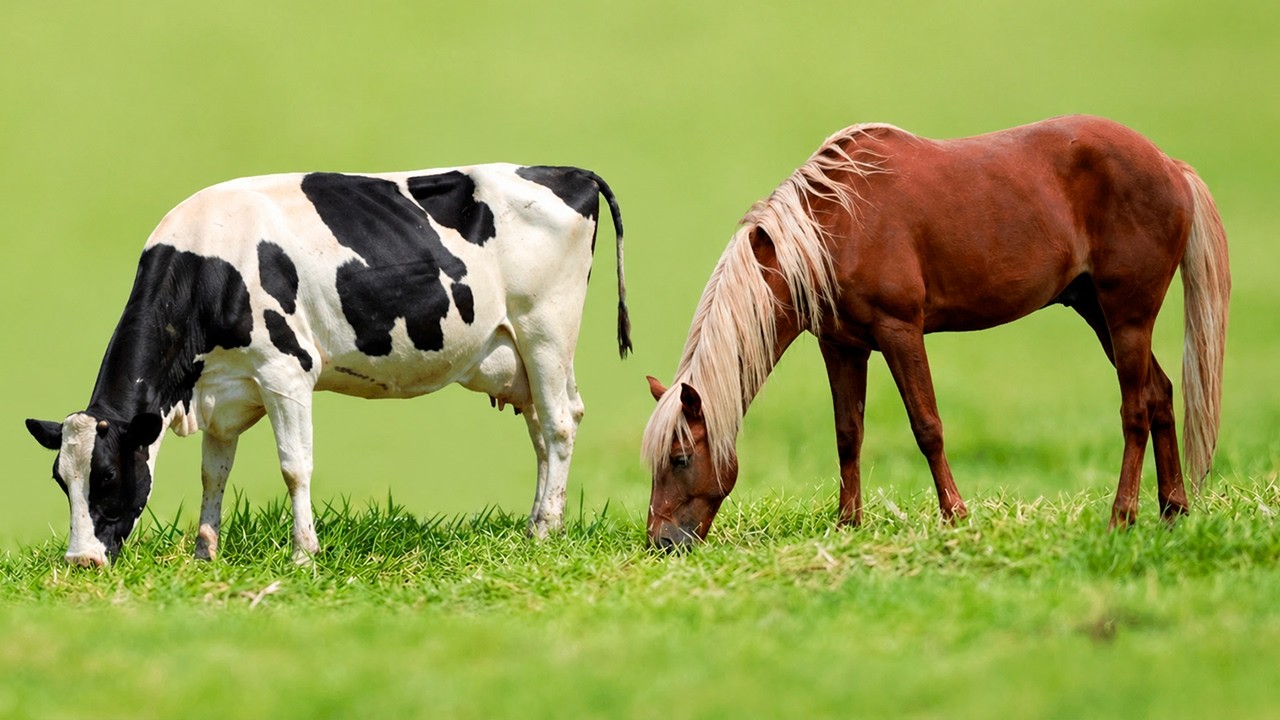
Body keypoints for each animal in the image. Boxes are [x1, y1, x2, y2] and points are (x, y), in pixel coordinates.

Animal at [26, 164, 630, 567]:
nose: (81, 561)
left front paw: (303, 556)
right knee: (543, 428)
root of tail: (566, 170)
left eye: (106, 475)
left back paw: (545, 532)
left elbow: (295, 467)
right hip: (519, 354)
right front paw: (204, 554)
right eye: (60, 479)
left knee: (560, 424)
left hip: (546, 330)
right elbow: (213, 474)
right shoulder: (222, 389)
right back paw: (536, 523)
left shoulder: (285, 370)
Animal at [642, 115, 1229, 548]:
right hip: (1099, 312)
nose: (660, 543)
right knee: (1160, 394)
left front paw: (956, 517)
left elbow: (927, 427)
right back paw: (1172, 512)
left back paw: (1121, 518)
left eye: (680, 458)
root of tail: (1170, 167)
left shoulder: (900, 331)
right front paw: (847, 526)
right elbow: (847, 434)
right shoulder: (842, 345)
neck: (833, 229)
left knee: (1135, 409)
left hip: (1127, 314)